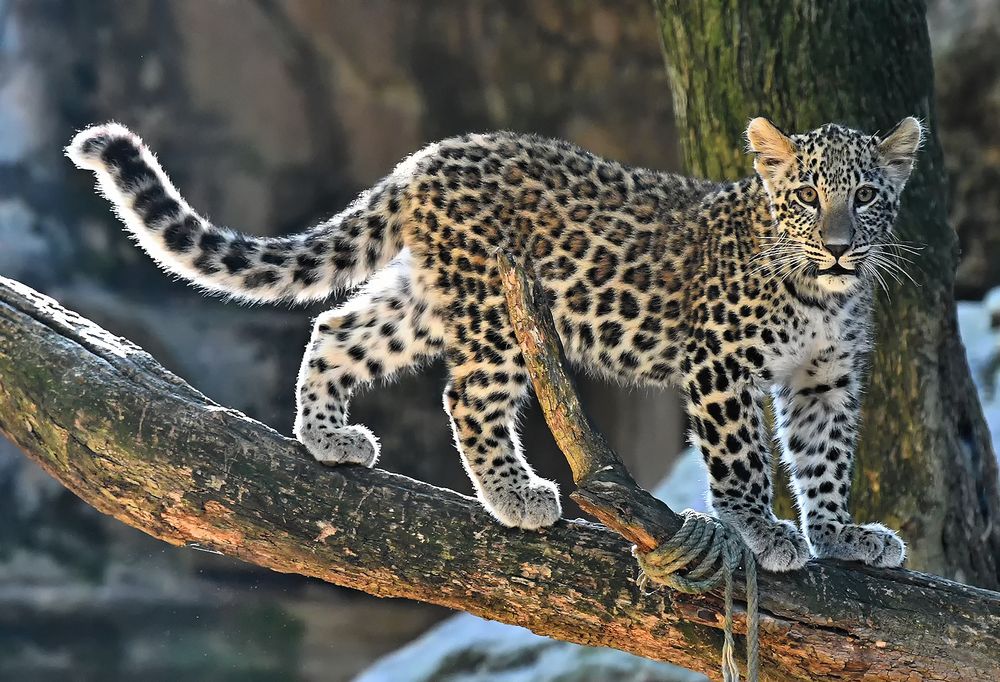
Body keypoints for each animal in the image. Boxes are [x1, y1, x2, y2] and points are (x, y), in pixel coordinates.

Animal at [66, 115, 922, 572]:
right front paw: (763, 531)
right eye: (807, 195)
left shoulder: (824, 379)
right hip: (496, 308)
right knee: (465, 395)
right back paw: (516, 497)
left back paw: (326, 438)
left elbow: (826, 460)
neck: (822, 292)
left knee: (339, 327)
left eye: (866, 196)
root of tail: (425, 159)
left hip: (426, 298)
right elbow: (742, 459)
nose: (840, 247)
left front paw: (841, 534)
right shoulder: (721, 363)